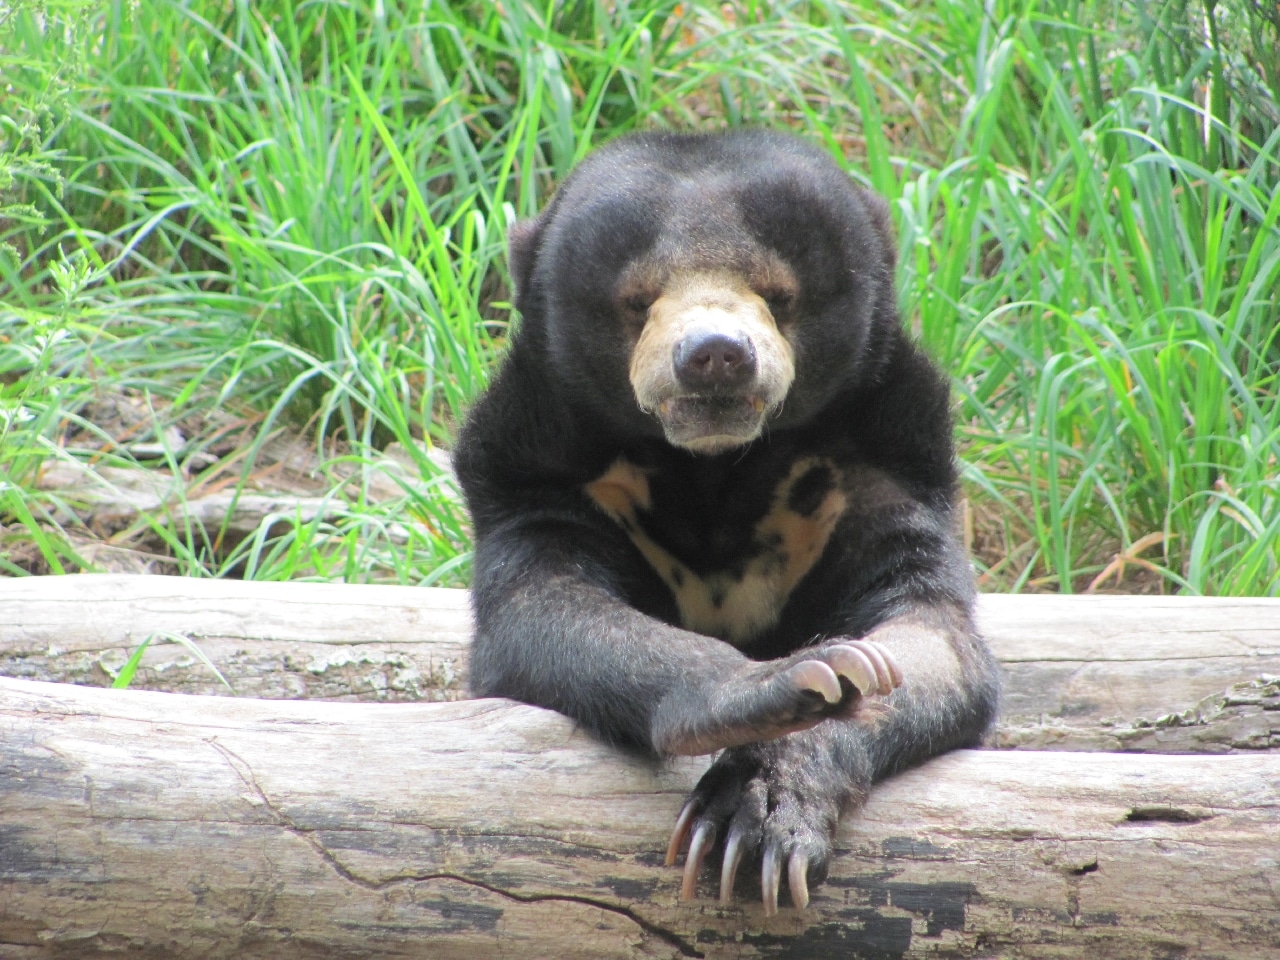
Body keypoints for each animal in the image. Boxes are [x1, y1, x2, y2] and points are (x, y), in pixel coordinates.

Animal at [454, 129, 1000, 914]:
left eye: (778, 294)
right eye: (638, 300)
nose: (715, 357)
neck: (713, 470)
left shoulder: (875, 467)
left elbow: (926, 639)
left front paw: (760, 809)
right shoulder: (540, 473)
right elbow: (545, 609)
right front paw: (786, 682)